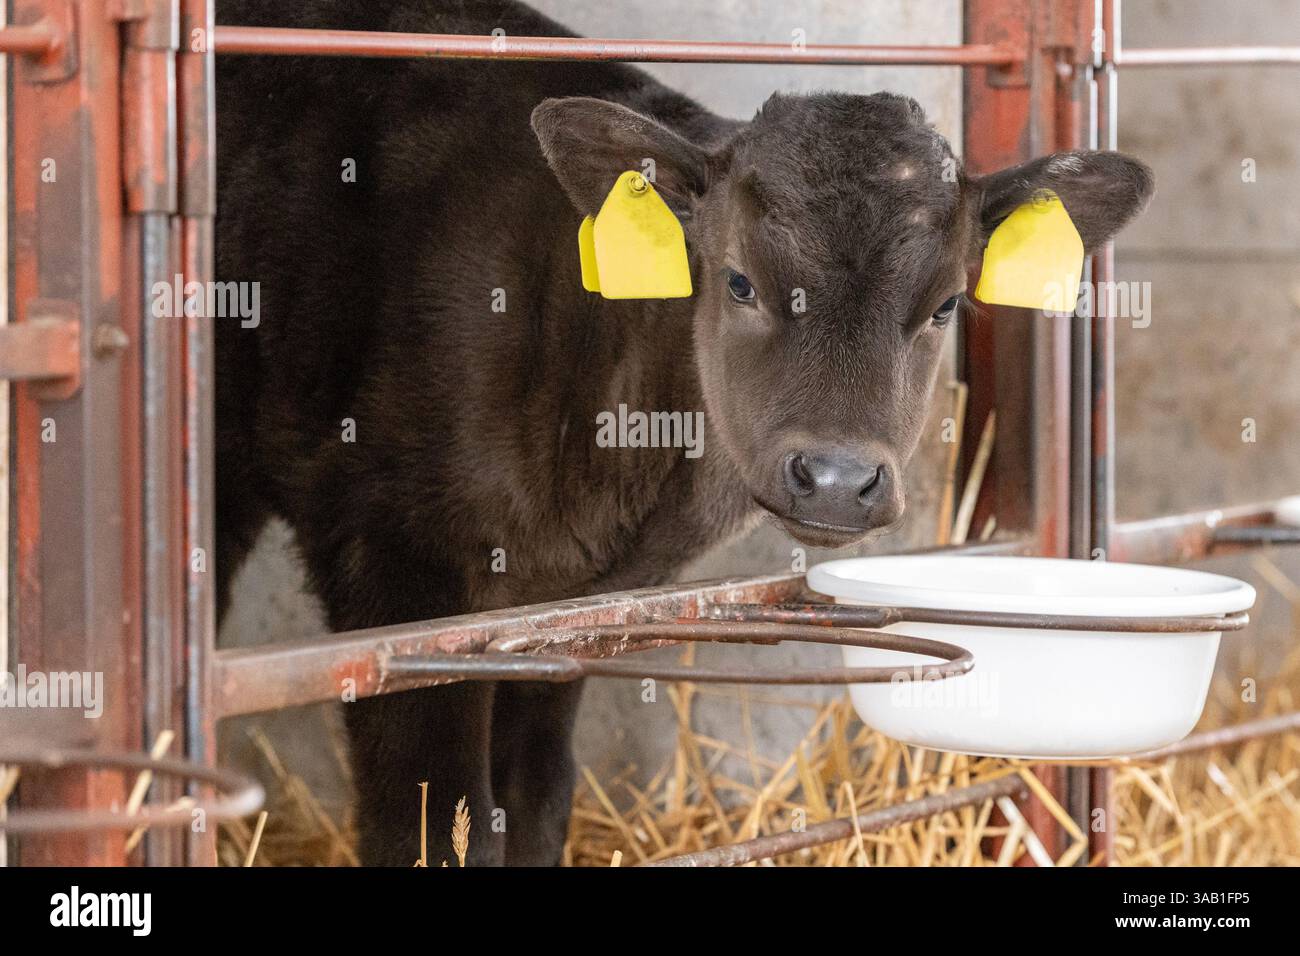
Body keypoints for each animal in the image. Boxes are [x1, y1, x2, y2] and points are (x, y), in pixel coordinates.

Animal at [213, 0, 1153, 865]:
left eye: (947, 303)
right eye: (738, 282)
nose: (838, 479)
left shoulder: (576, 613)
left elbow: (537, 798)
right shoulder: (395, 568)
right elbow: (436, 827)